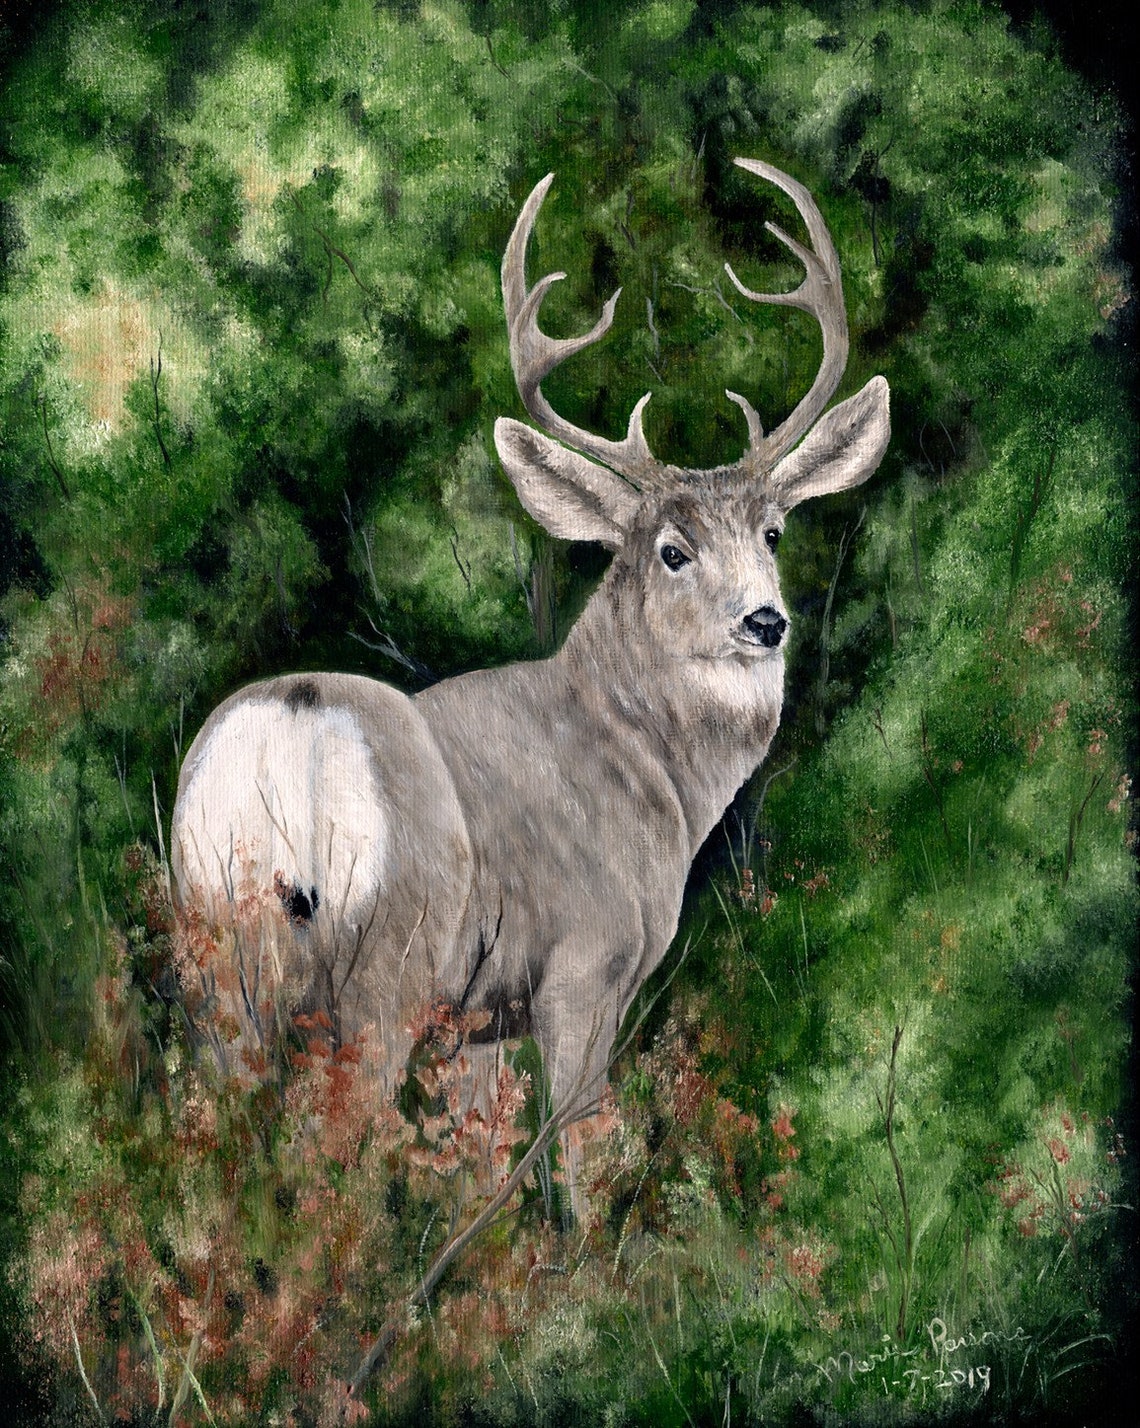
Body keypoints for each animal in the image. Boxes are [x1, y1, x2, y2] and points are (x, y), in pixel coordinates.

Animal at [170, 157, 890, 1210]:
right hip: (389, 960)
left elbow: (479, 1165)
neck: (652, 771)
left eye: (773, 532)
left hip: (213, 945)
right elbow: (581, 1151)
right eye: (670, 550)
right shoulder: (586, 965)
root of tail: (293, 737)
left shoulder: (481, 1018)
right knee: (335, 1147)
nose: (766, 621)